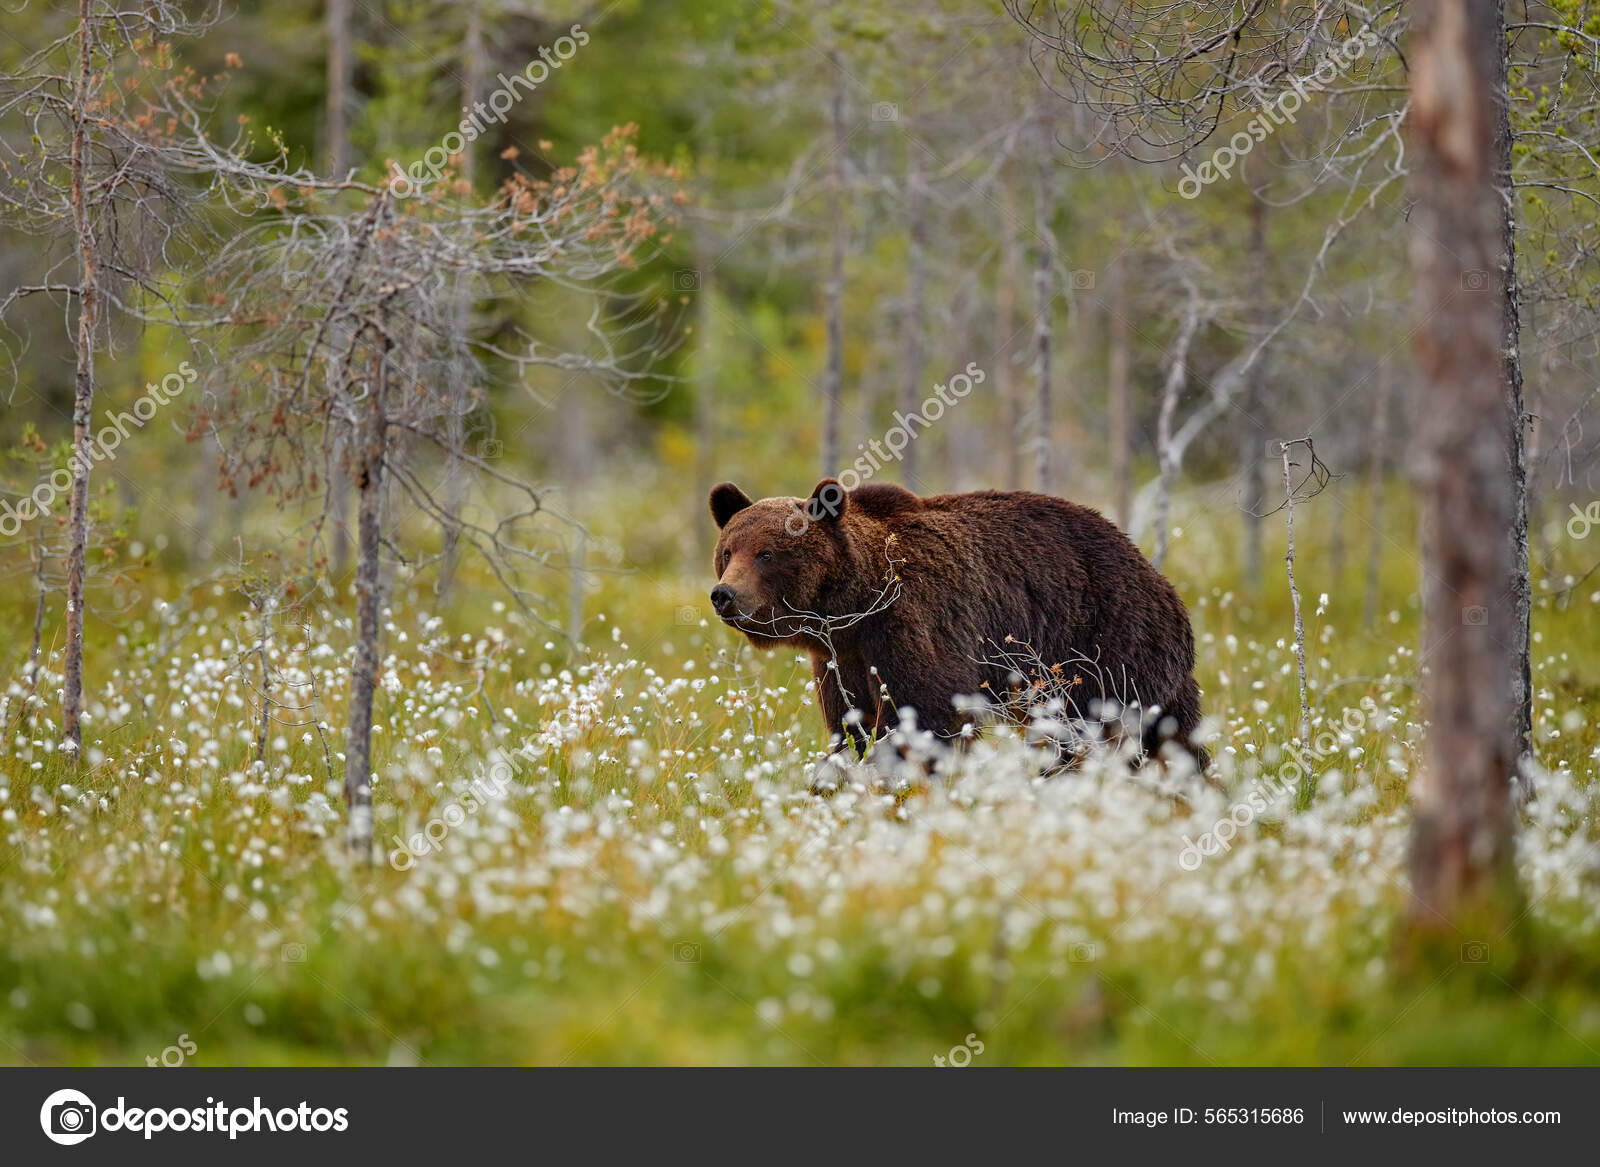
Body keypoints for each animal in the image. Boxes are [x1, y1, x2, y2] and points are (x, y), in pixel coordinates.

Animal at [708, 477, 1207, 771]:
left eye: (767, 553)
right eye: (728, 552)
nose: (724, 595)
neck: (855, 606)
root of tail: (1160, 581)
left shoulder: (915, 626)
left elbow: (925, 716)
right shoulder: (841, 658)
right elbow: (849, 723)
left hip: (1103, 648)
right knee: (1175, 736)